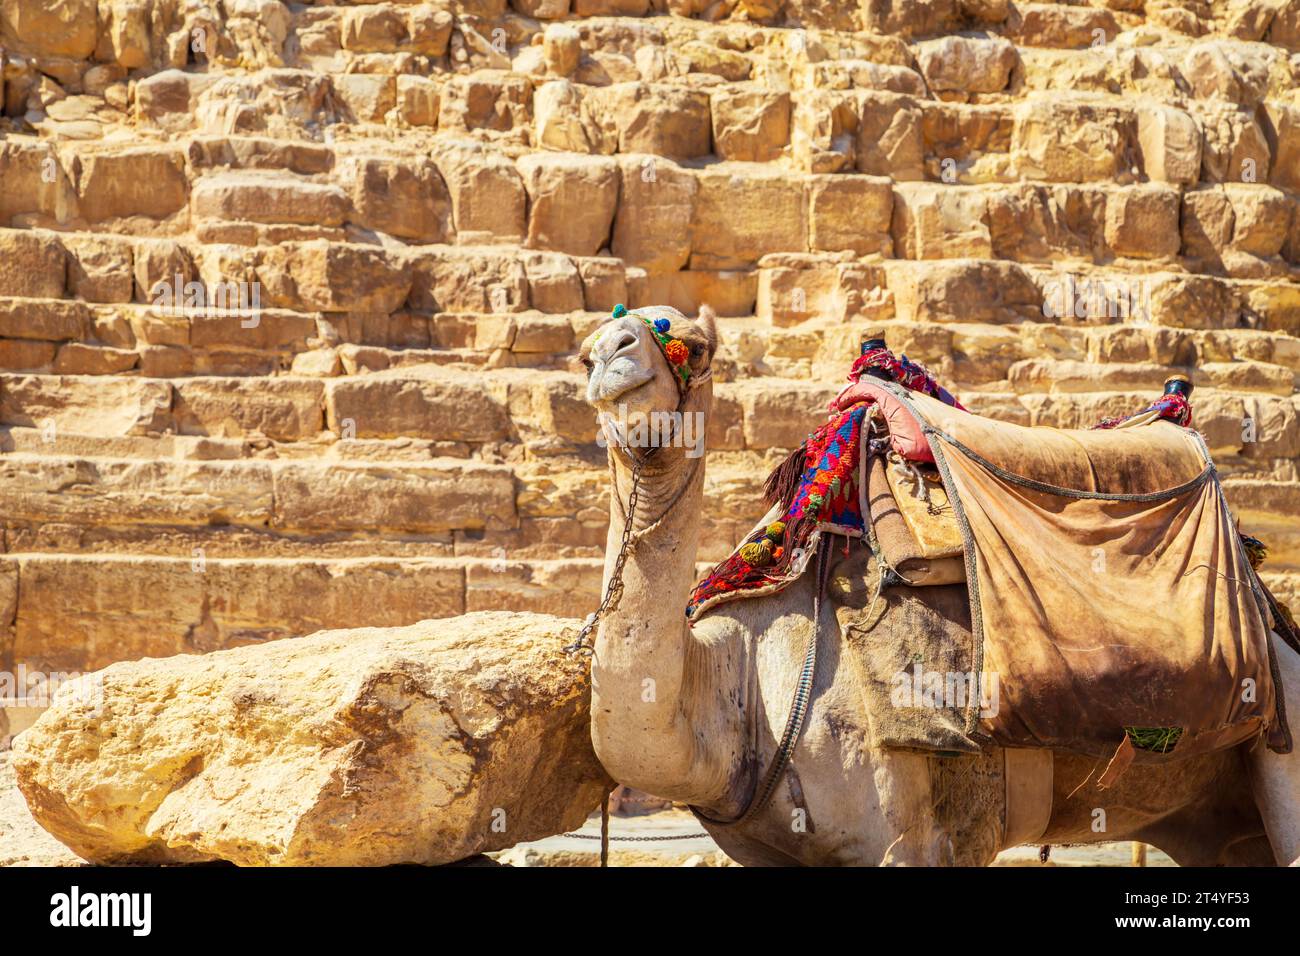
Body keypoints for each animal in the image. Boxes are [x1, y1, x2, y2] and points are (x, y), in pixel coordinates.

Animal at [578, 304, 1300, 866]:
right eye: (588, 348)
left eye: (690, 345)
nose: (609, 355)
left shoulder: (911, 835)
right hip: (1209, 809)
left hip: (1281, 733)